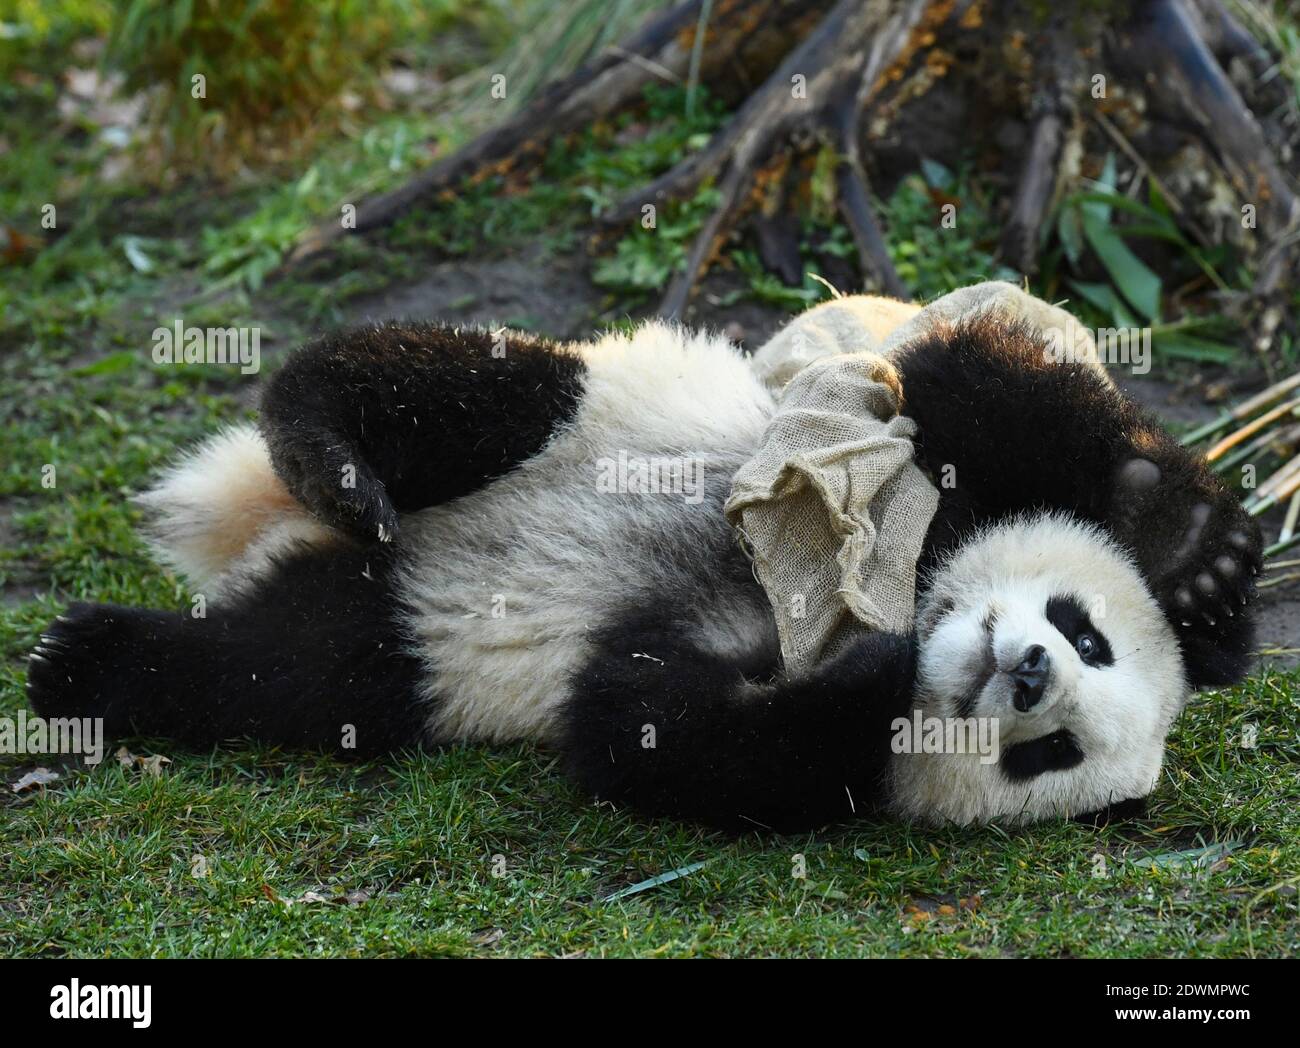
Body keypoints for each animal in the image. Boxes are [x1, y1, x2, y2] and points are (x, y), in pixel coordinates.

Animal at [26, 292, 1262, 832]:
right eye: (1083, 627)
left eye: (1050, 753)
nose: (1030, 672)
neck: (900, 592)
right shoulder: (908, 465)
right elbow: (976, 384)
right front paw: (1191, 551)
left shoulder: (719, 693)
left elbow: (650, 725)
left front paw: (872, 683)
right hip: (574, 415)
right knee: (454, 386)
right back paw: (329, 457)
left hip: (384, 644)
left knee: (282, 669)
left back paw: (87, 661)